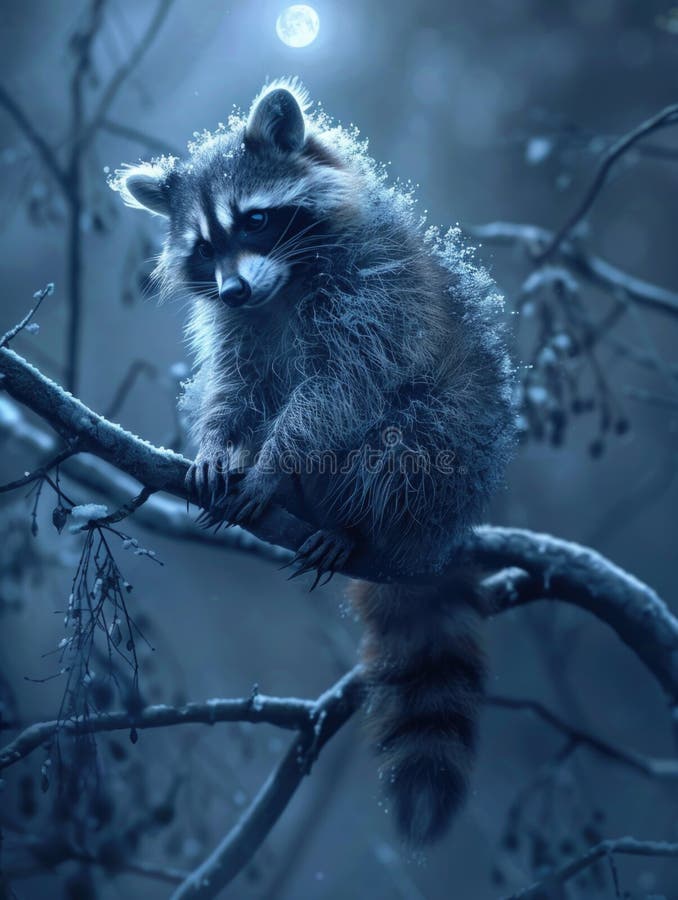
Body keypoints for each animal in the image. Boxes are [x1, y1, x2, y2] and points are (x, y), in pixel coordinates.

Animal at [112, 80, 516, 845]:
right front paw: (221, 445)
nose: (235, 289)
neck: (283, 283)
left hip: (455, 455)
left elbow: (338, 391)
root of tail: (435, 538)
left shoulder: (374, 295)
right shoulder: (236, 328)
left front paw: (275, 462)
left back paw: (353, 523)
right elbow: (233, 388)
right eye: (204, 247)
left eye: (255, 220)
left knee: (406, 437)